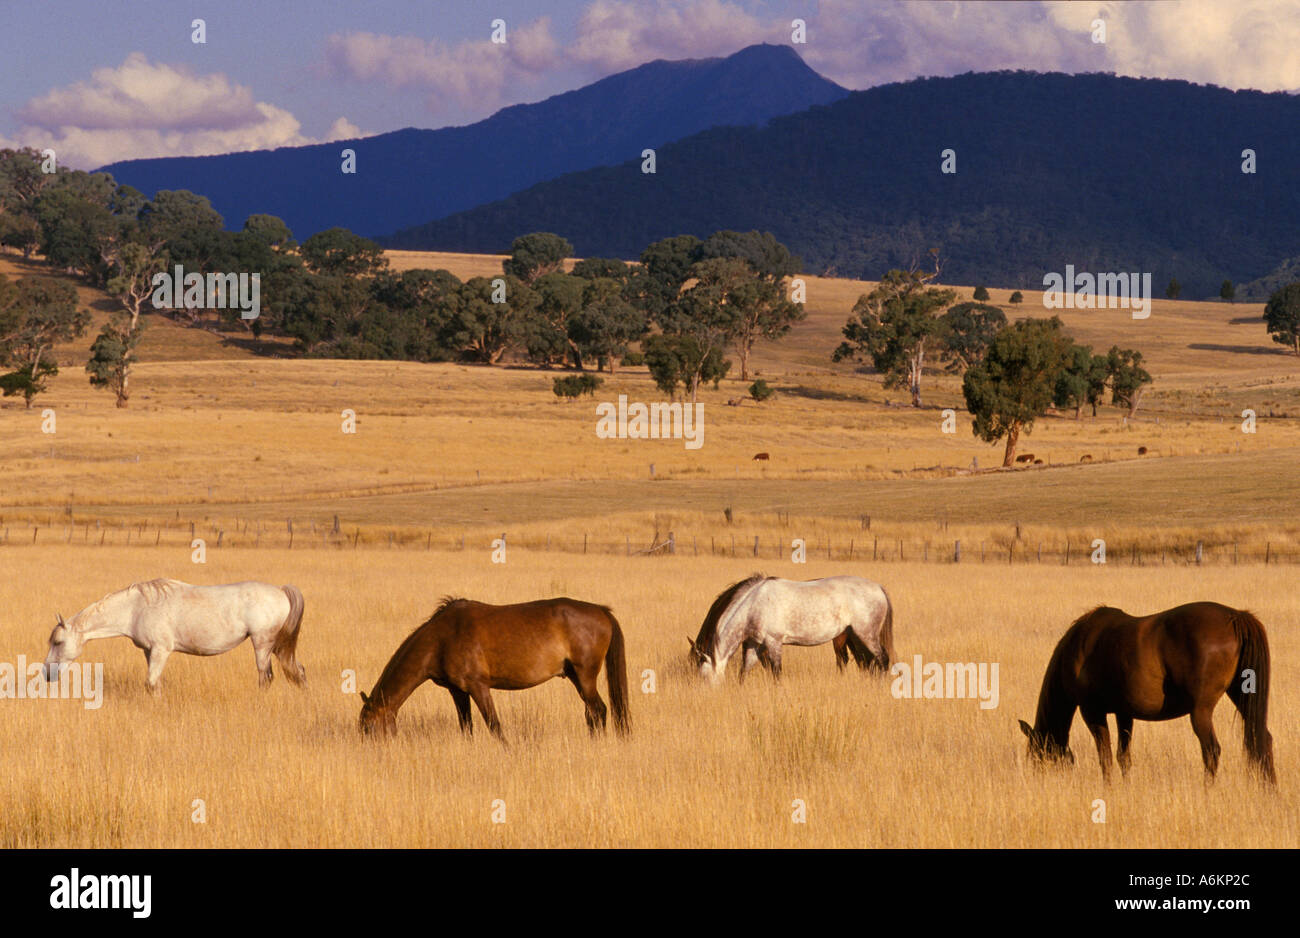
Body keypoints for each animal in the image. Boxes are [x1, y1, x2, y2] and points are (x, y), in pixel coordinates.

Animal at [43, 578, 306, 691]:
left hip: (262, 644)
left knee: (266, 677)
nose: (47, 673)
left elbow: (150, 683)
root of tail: (281, 591)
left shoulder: (161, 650)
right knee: (298, 671)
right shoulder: (149, 652)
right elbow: (155, 684)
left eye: (58, 642)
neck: (136, 607)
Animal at [359, 597, 630, 740]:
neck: (441, 639)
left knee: (598, 710)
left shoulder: (479, 687)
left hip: (585, 676)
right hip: (575, 676)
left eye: (368, 728)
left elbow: (494, 725)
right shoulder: (458, 691)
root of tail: (601, 610)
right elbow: (466, 727)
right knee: (592, 713)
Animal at [687, 574, 894, 683]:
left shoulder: (773, 642)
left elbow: (776, 673)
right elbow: (744, 672)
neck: (753, 604)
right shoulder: (754, 644)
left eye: (703, 676)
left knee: (883, 660)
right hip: (854, 637)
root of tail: (878, 588)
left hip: (866, 635)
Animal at [1019, 602, 1275, 784]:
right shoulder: (1124, 713)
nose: (1041, 782)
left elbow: (1105, 757)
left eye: (1037, 758)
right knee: (1263, 738)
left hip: (1201, 711)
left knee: (1211, 751)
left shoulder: (1092, 712)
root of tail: (1235, 616)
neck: (1079, 646)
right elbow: (1123, 757)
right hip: (1242, 696)